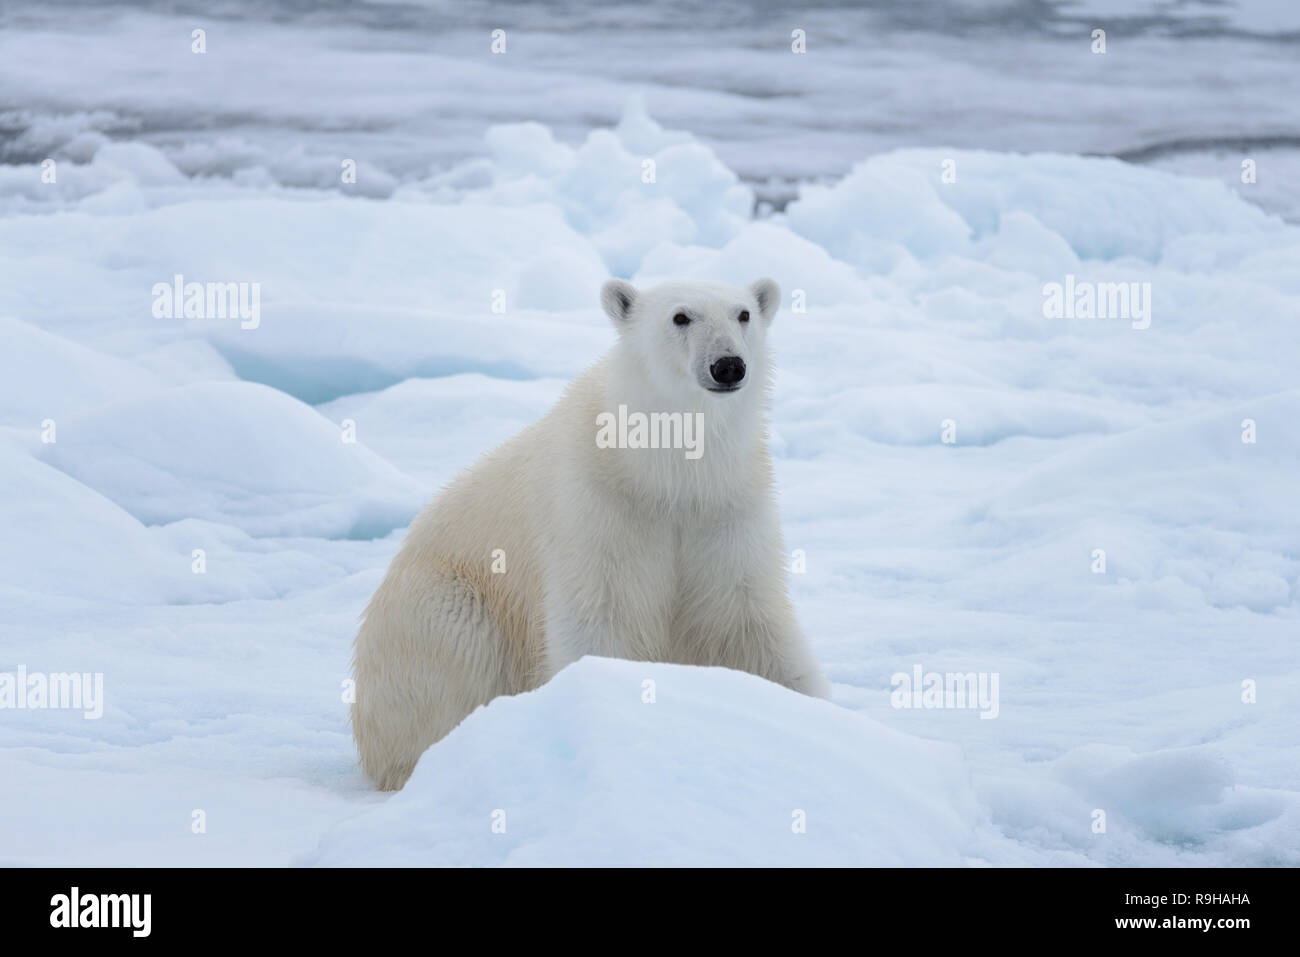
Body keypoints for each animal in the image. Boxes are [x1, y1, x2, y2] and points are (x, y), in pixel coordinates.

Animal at [351, 277, 830, 790]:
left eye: (743, 314)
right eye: (681, 316)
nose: (728, 365)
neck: (663, 476)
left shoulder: (725, 511)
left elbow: (751, 623)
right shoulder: (598, 511)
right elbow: (600, 618)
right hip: (437, 607)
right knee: (455, 652)